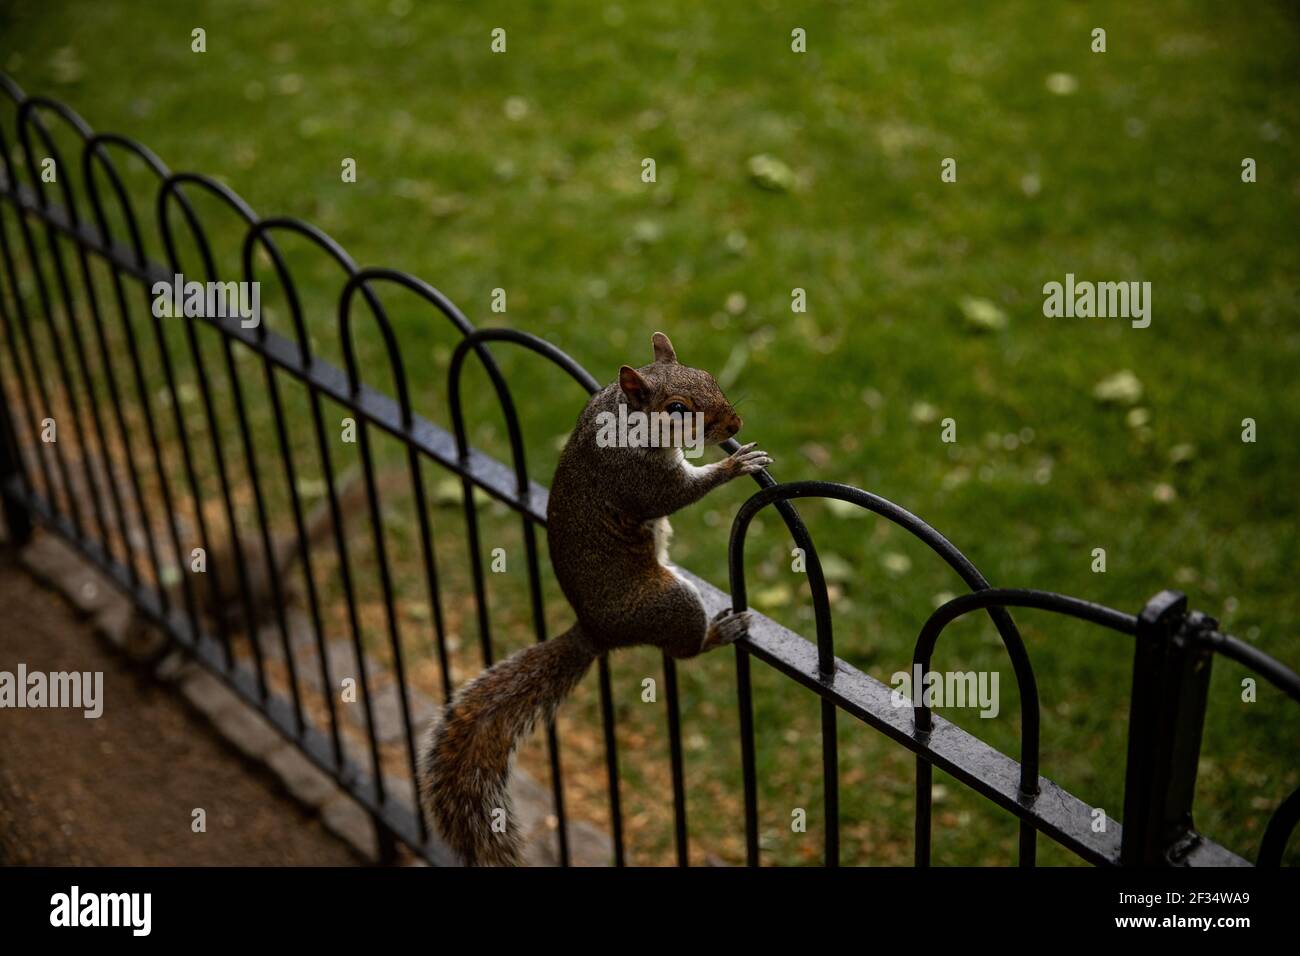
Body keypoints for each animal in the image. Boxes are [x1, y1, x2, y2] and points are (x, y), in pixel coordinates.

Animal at [419, 331, 772, 866]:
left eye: (709, 375)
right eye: (676, 409)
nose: (735, 424)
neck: (623, 418)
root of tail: (595, 630)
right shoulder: (635, 477)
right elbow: (672, 498)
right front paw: (735, 463)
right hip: (670, 603)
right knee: (683, 649)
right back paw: (720, 631)